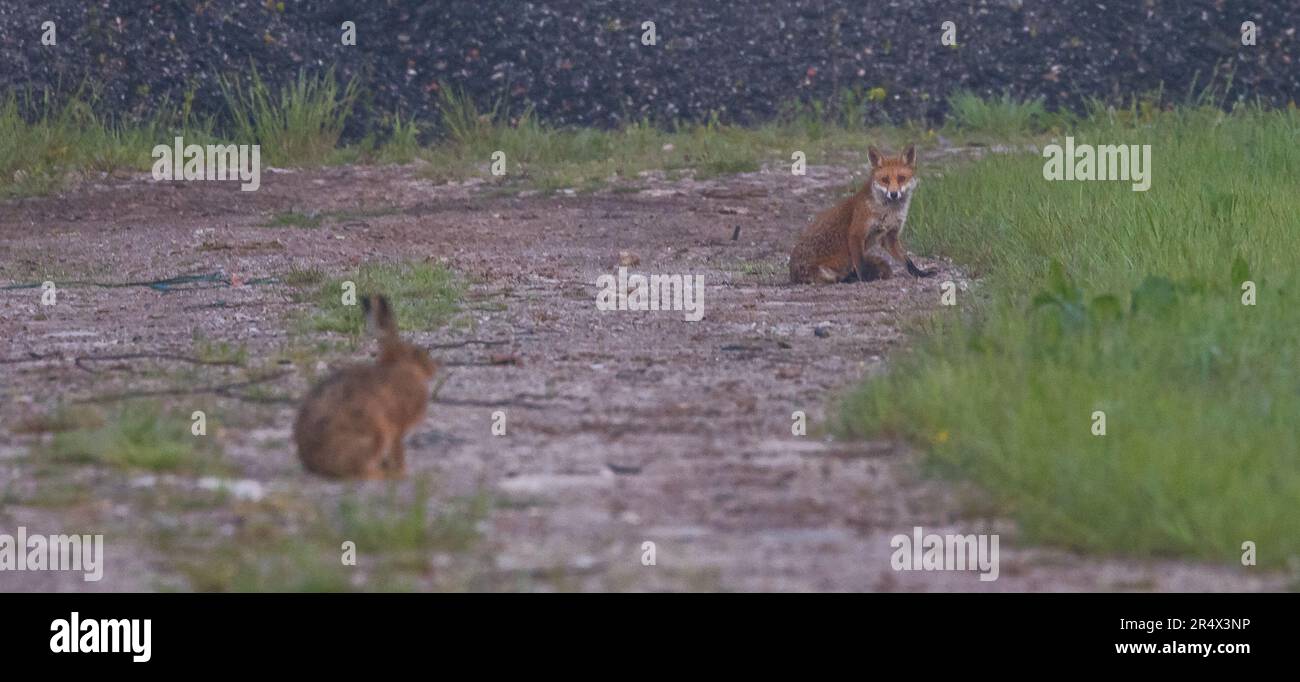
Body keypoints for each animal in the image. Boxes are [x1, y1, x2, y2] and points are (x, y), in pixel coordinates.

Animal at [294, 294, 440, 479]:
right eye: (416, 353)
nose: (433, 369)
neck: (400, 367)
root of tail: (316, 464)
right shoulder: (398, 426)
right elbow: (398, 448)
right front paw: (402, 471)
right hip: (374, 433)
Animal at [789, 144, 937, 284]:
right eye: (885, 179)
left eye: (901, 178)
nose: (894, 194)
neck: (888, 212)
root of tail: (792, 275)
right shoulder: (856, 233)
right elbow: (860, 264)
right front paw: (866, 279)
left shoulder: (890, 237)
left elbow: (908, 261)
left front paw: (920, 273)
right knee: (840, 276)